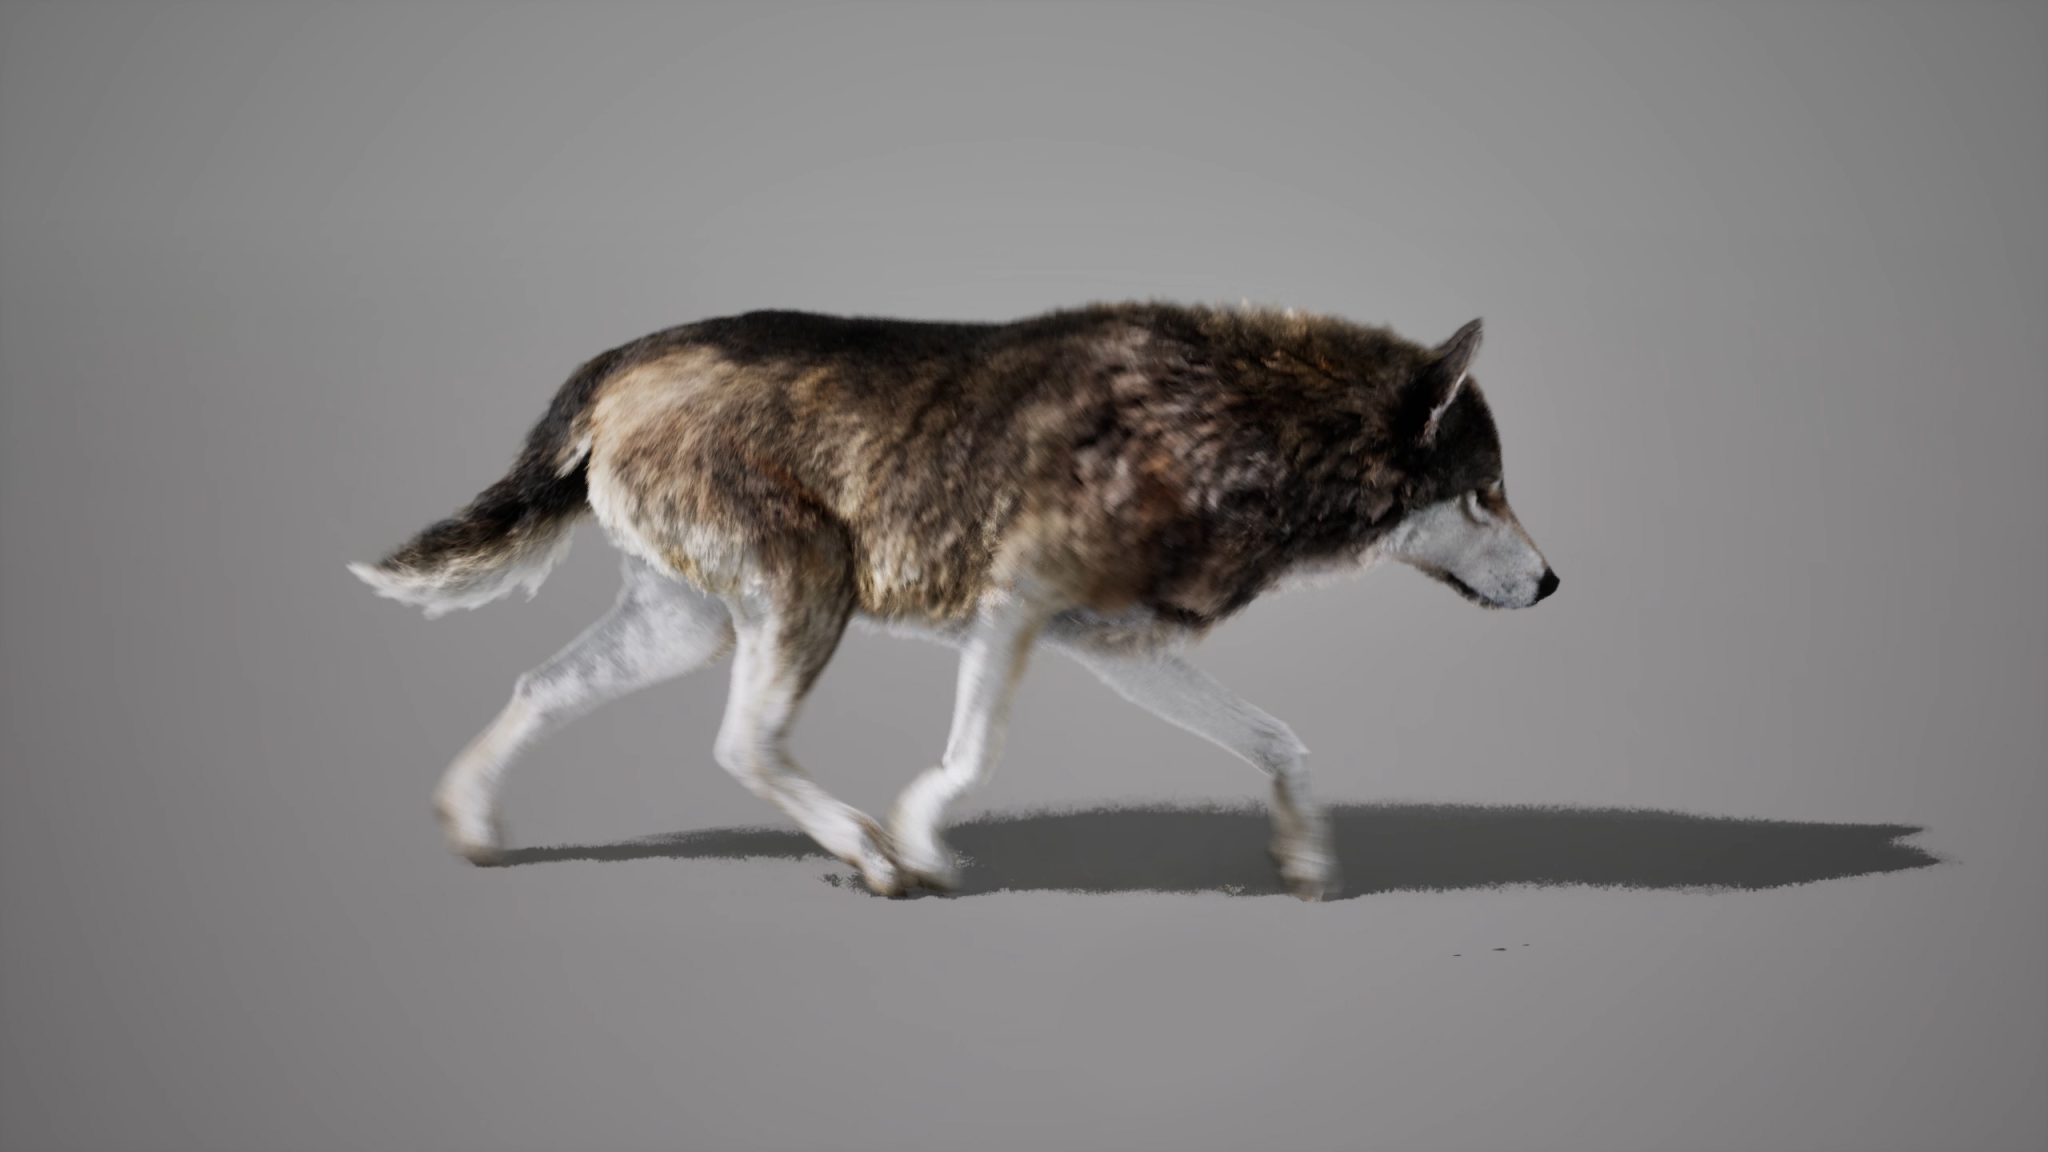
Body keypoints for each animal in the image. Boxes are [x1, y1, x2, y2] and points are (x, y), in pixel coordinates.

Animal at [350, 301, 1557, 900]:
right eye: (1486, 490)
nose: (1553, 583)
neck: (1233, 430)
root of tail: (621, 357)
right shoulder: (1014, 613)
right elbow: (970, 760)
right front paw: (921, 842)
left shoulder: (1117, 648)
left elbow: (1283, 743)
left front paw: (1307, 863)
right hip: (807, 593)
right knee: (740, 745)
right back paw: (866, 852)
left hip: (684, 630)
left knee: (538, 686)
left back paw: (470, 822)